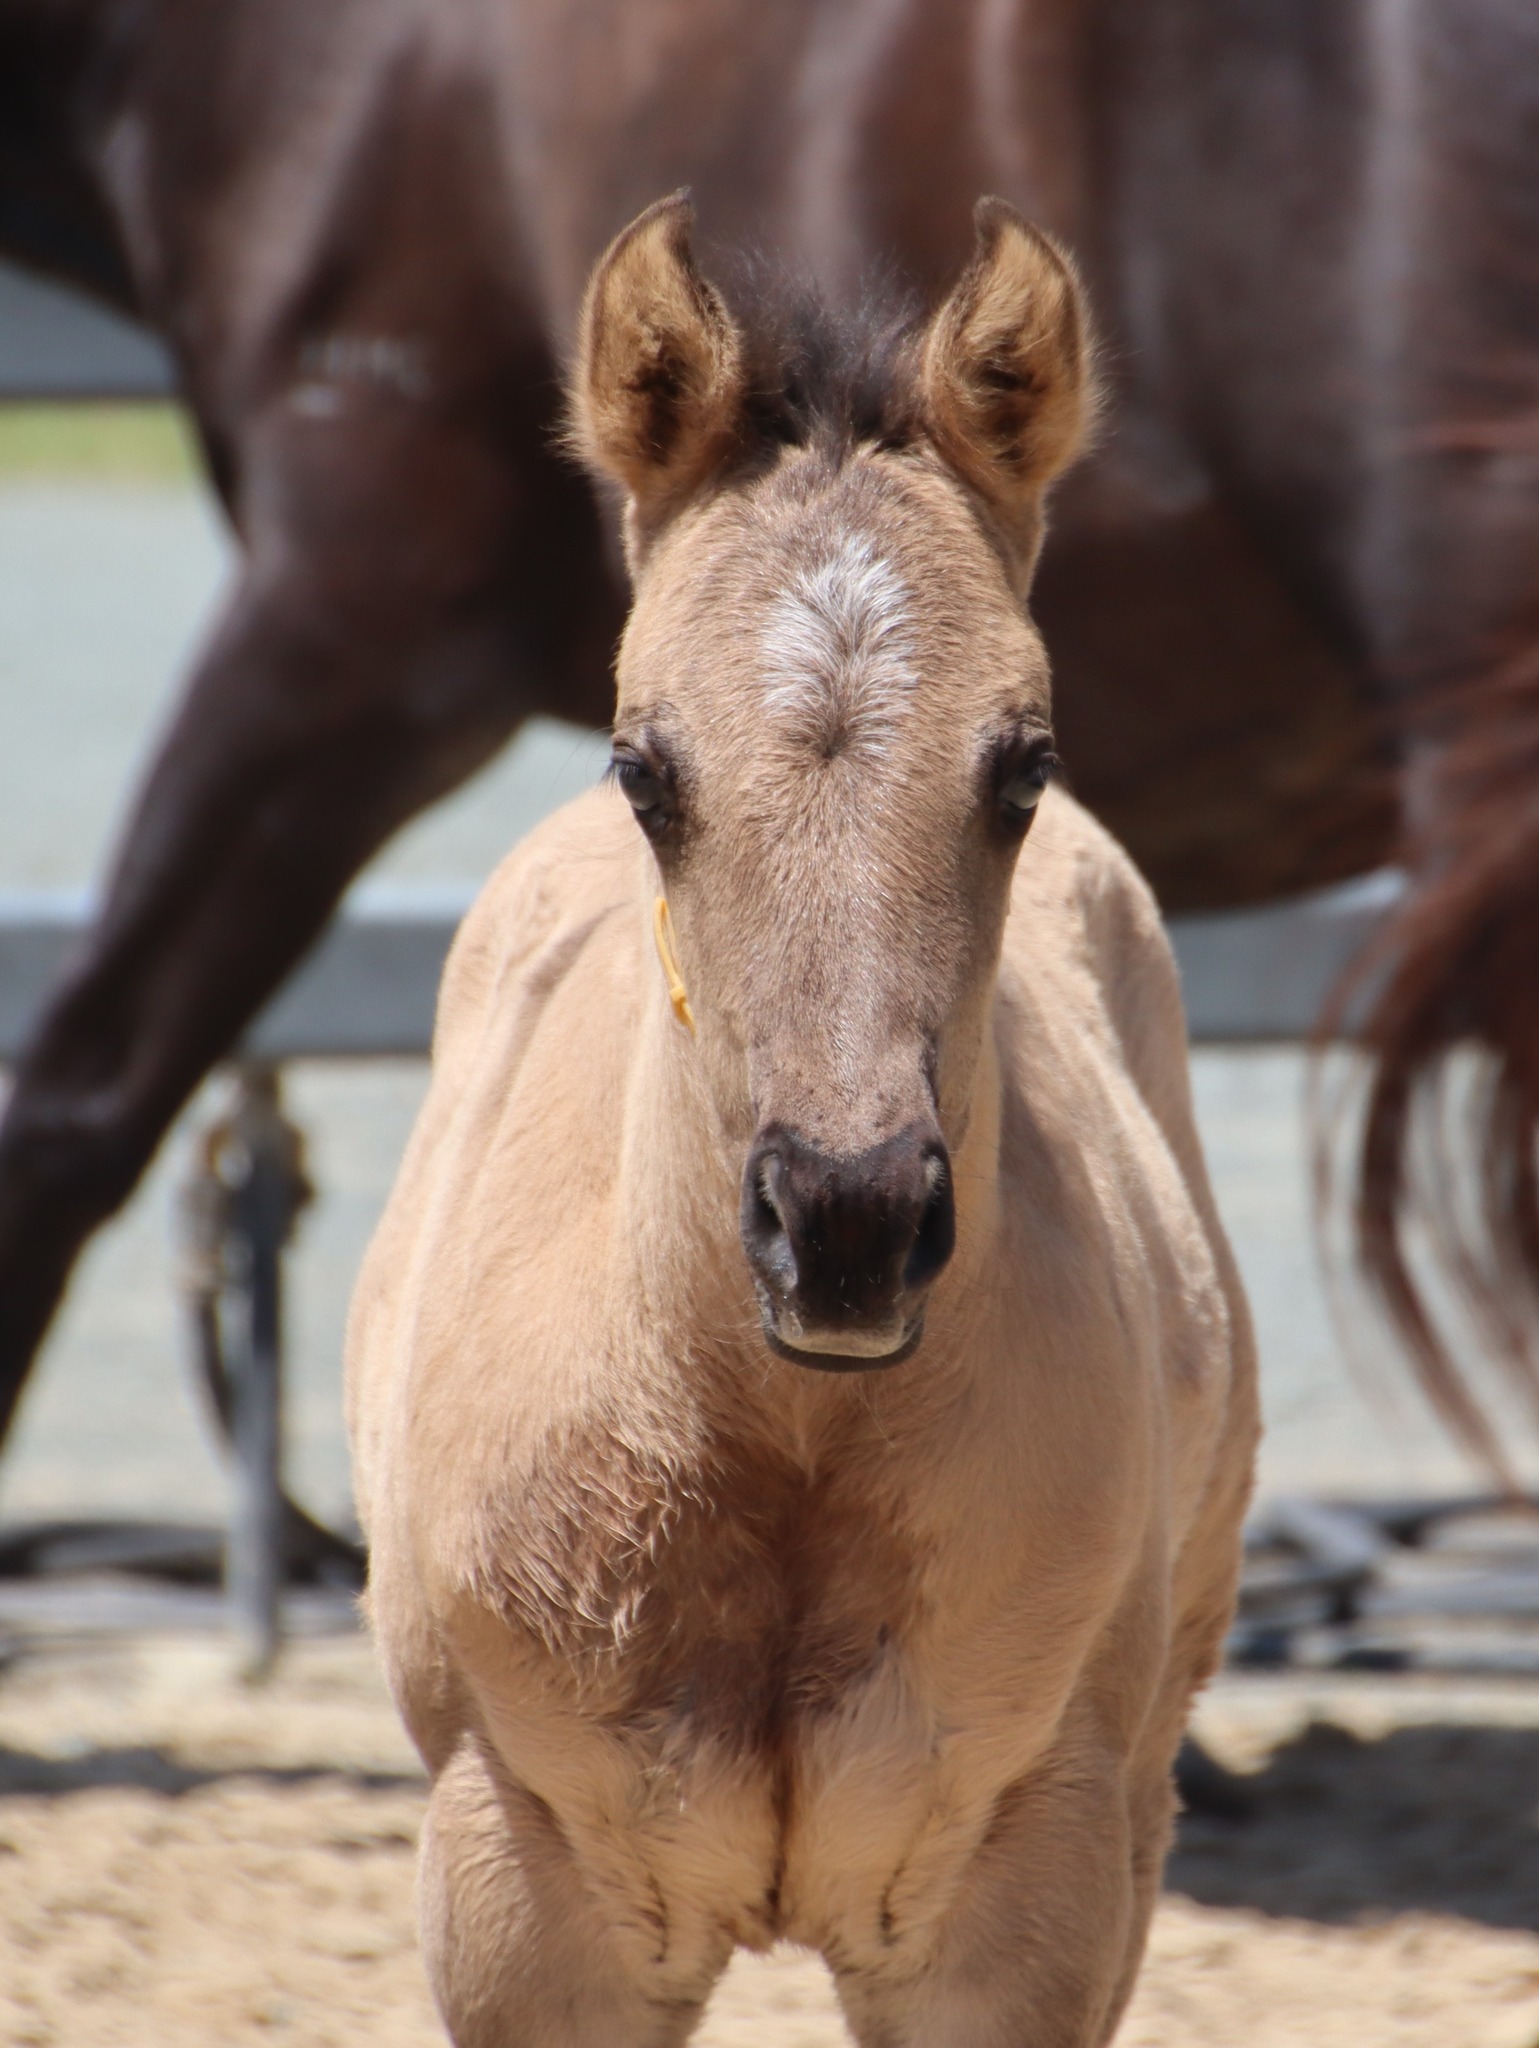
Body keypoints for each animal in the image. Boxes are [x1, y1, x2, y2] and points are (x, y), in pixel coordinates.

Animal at [346, 193, 1257, 2048]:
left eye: (1021, 765)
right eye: (642, 770)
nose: (843, 1223)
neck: (779, 1460)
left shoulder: (1017, 1907)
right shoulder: (520, 1898)